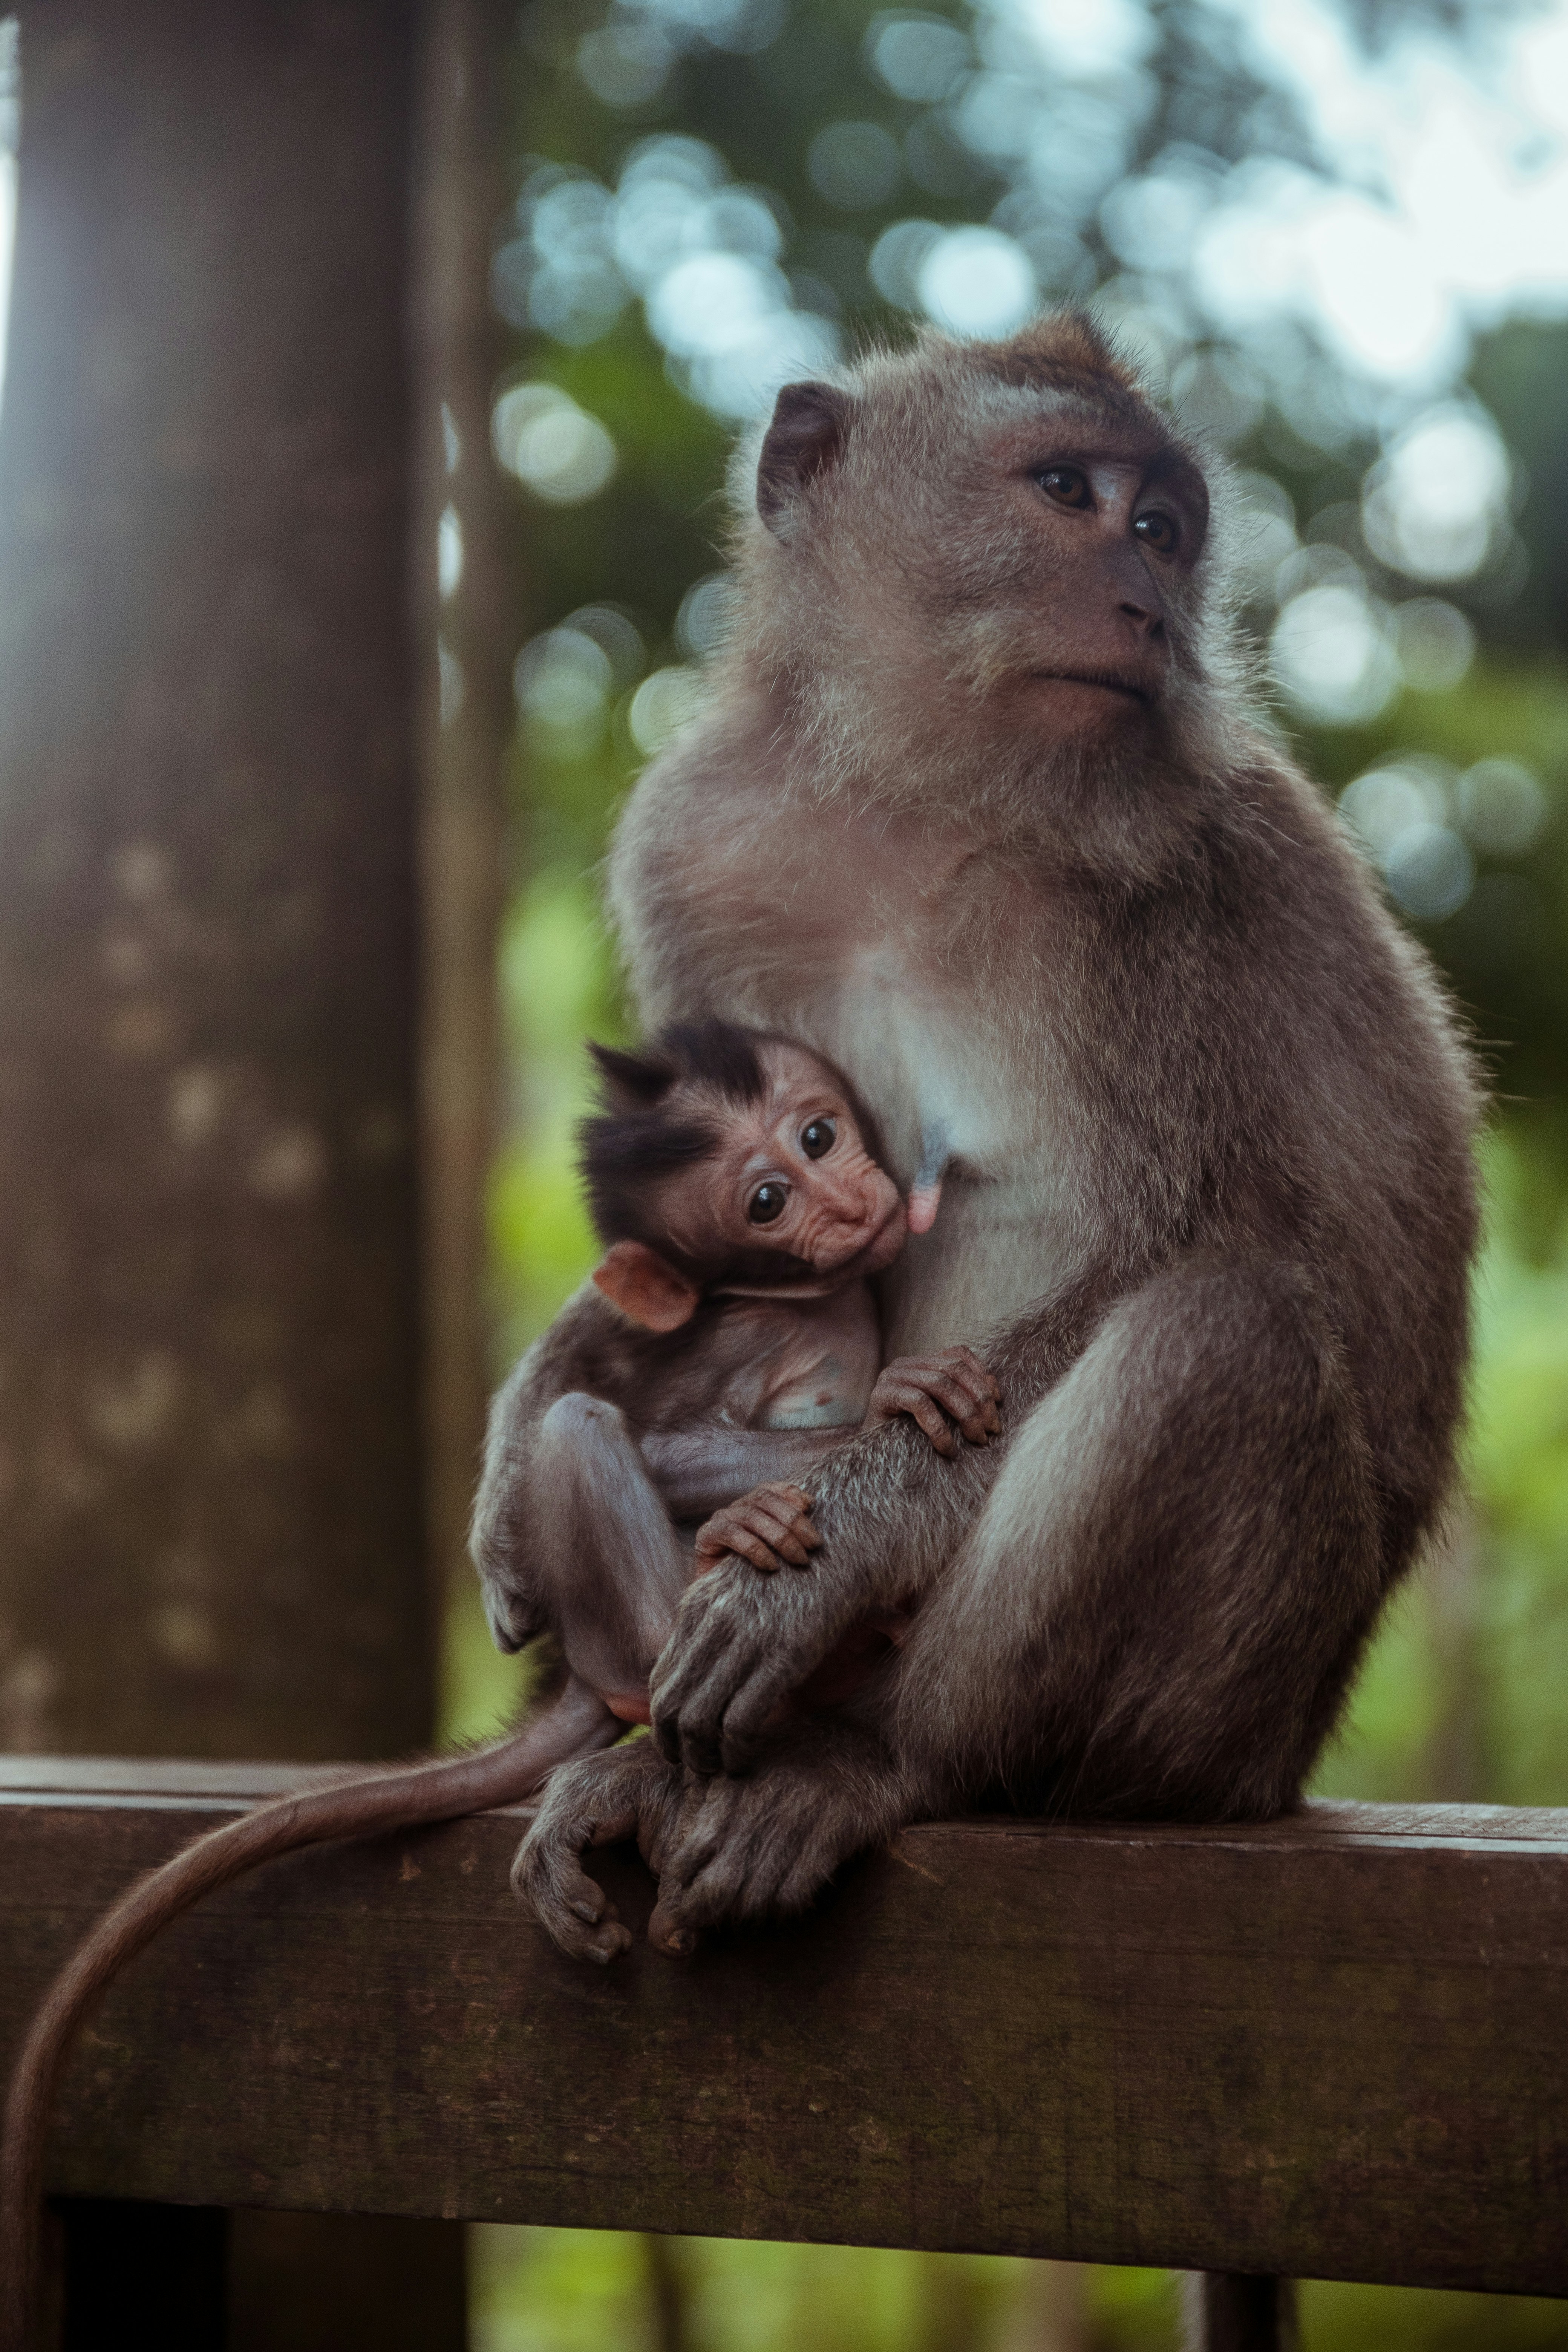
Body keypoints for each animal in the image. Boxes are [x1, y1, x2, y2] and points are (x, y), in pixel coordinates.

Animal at [0, 1018, 997, 2350]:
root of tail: (584, 1662)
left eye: (819, 1132)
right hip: (625, 1636)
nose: (847, 1201)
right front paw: (887, 1400)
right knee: (583, 1433)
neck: (808, 1298)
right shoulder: (744, 1337)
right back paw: (694, 1661)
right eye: (767, 1202)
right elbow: (650, 1430)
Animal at [493, 310, 1481, 1968]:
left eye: (1162, 528)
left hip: (1227, 1724)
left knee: (1228, 1334)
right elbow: (661, 1259)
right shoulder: (697, 842)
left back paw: (878, 1757)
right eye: (1069, 491)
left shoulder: (1179, 892)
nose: (1147, 604)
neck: (919, 793)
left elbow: (1213, 1238)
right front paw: (512, 1463)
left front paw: (822, 1565)